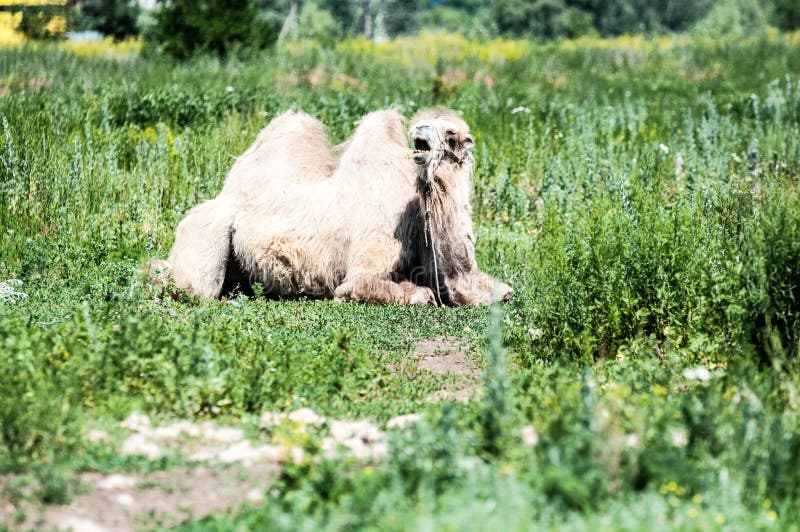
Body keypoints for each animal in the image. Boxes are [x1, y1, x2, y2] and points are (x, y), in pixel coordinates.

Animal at [152, 108, 512, 306]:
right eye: (423, 128)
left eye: (451, 134)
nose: (420, 133)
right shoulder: (365, 265)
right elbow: (409, 292)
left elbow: (504, 291)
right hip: (206, 231)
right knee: (189, 284)